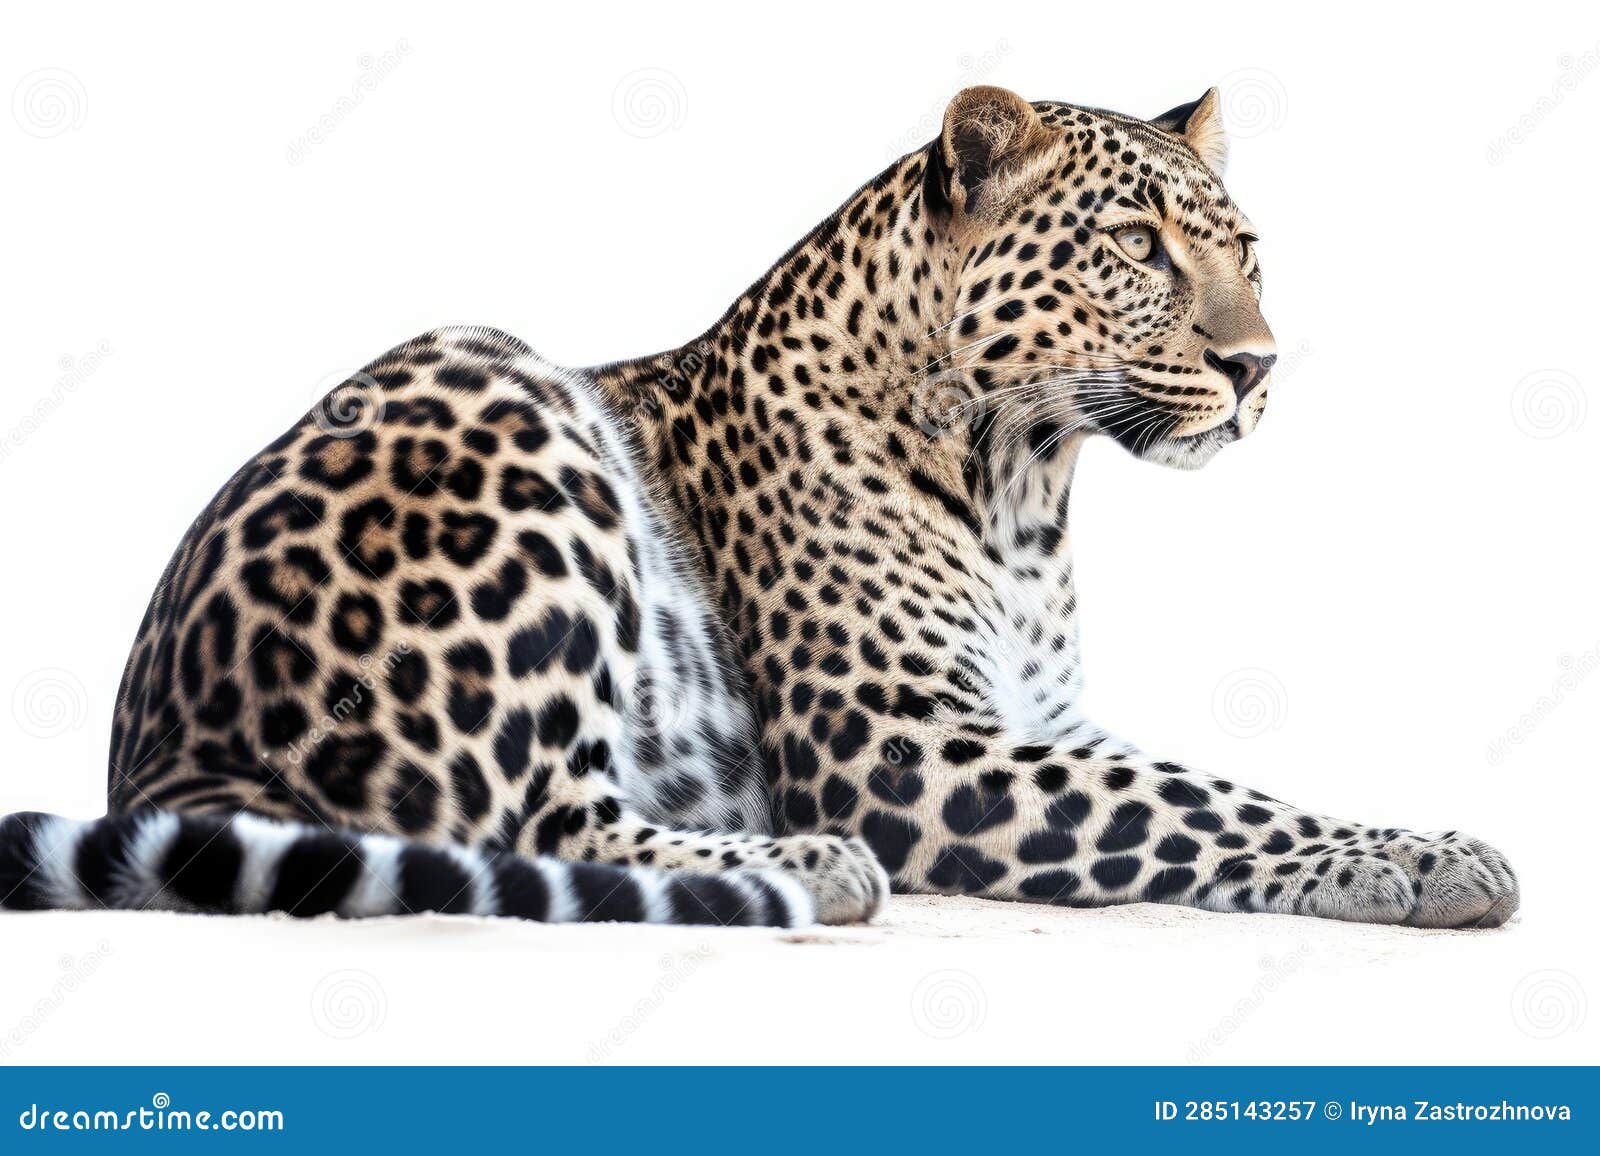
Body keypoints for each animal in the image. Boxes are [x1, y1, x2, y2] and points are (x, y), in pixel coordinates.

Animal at [1, 85, 1518, 930]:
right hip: (500, 384)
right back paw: (808, 870)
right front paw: (1426, 857)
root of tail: (166, 752)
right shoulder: (900, 748)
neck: (1031, 487)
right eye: (1136, 246)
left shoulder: (1039, 715)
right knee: (525, 831)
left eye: (1248, 251)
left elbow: (1197, 784)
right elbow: (1199, 803)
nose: (1259, 366)